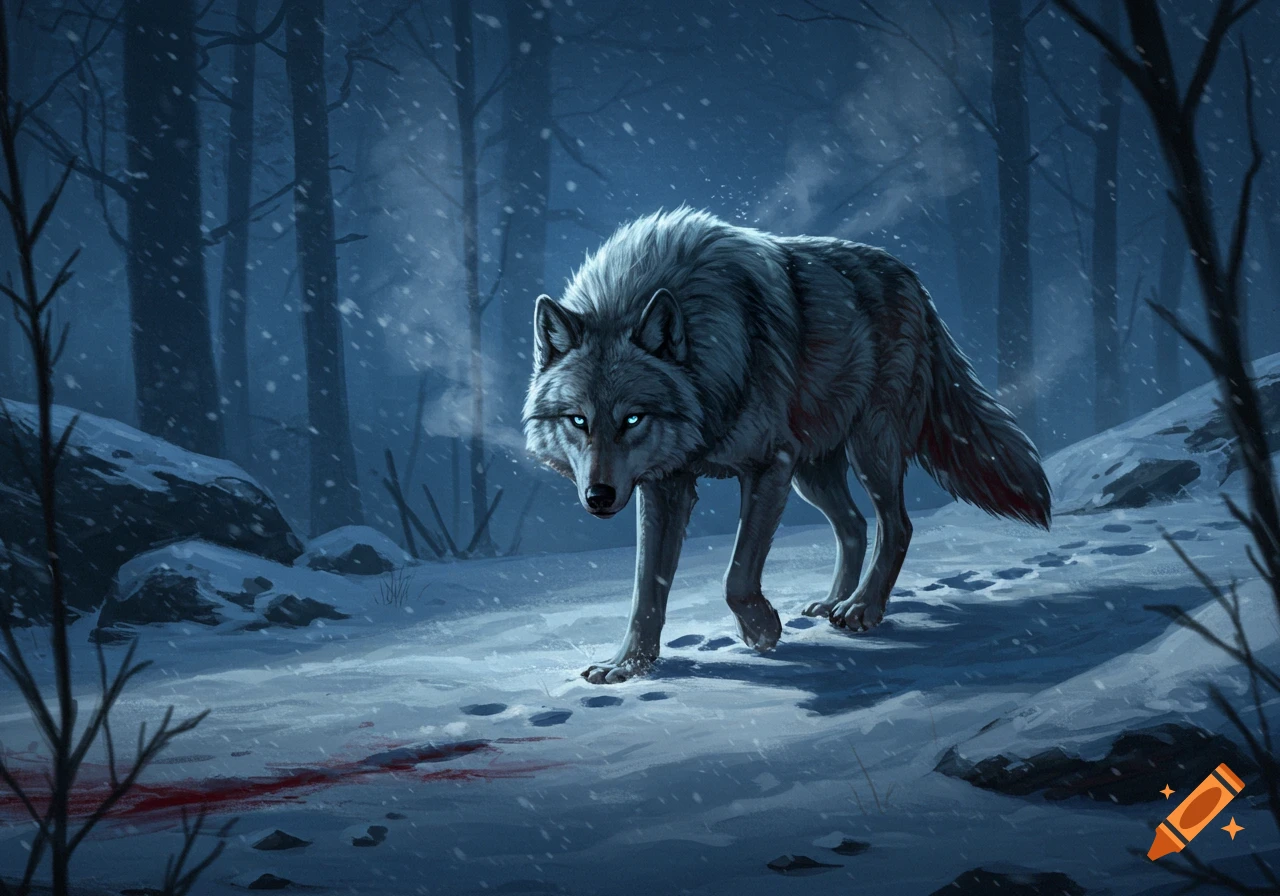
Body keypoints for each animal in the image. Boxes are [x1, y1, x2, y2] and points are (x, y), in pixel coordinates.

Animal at [524, 208, 1050, 684]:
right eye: (578, 420)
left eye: (632, 419)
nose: (598, 497)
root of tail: (913, 281)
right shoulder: (665, 483)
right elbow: (645, 590)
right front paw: (629, 666)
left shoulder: (767, 465)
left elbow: (736, 577)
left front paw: (761, 631)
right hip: (811, 474)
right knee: (855, 524)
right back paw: (835, 601)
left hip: (868, 448)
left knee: (896, 526)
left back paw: (862, 608)